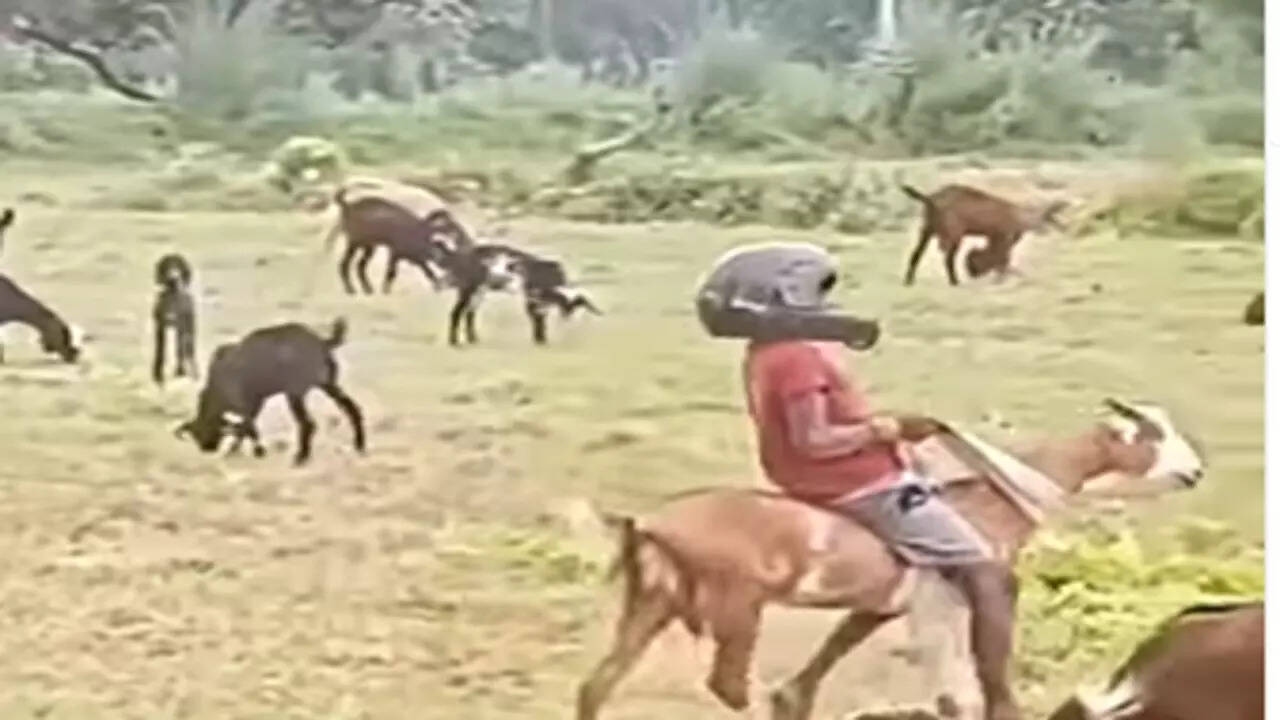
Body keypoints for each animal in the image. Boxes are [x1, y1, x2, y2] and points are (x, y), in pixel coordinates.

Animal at [151, 253, 198, 385]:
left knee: (189, 349)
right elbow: (160, 350)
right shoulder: (160, 326)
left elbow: (179, 348)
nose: (173, 279)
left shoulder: (180, 326)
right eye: (168, 266)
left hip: (190, 328)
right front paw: (158, 375)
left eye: (178, 266)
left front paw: (180, 372)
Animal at [175, 318, 366, 466]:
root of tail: (322, 342)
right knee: (353, 409)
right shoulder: (255, 404)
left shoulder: (244, 406)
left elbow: (247, 428)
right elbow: (248, 428)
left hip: (295, 395)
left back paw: (301, 457)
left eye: (200, 431)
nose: (207, 448)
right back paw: (360, 446)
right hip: (329, 385)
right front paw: (249, 450)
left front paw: (250, 451)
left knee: (308, 423)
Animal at [900, 183, 1068, 286]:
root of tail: (930, 198)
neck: (1017, 216)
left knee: (916, 254)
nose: (972, 272)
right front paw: (1005, 277)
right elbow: (1003, 258)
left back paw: (909, 280)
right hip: (954, 235)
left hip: (926, 230)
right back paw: (955, 281)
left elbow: (1000, 258)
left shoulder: (996, 237)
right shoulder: (1004, 236)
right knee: (948, 259)